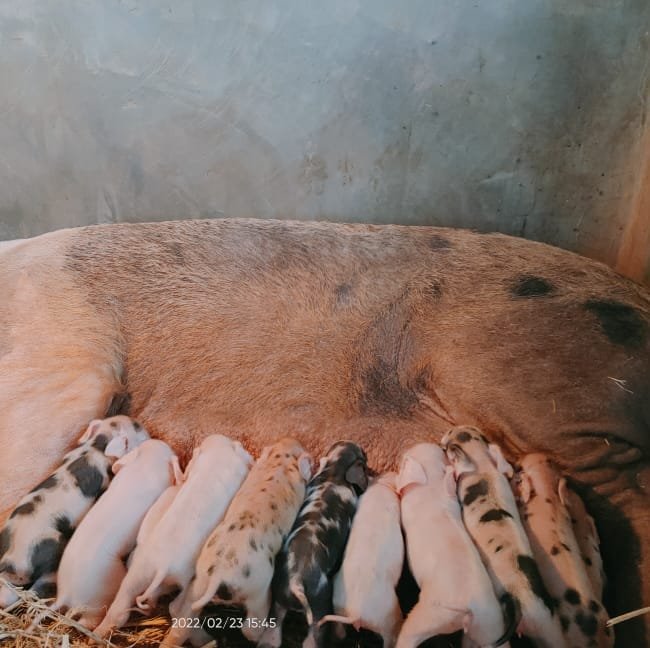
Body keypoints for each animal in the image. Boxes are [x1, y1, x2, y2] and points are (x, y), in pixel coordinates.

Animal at [95, 433, 253, 638]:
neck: (215, 460)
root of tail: (161, 566)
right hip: (182, 578)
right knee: (176, 606)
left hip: (137, 573)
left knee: (120, 607)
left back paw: (97, 633)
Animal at [160, 437, 312, 648]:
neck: (279, 461)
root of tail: (219, 574)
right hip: (258, 591)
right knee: (250, 628)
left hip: (199, 584)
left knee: (182, 620)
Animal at [261, 440, 369, 648]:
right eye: (363, 455)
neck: (334, 473)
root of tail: (297, 582)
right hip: (320, 606)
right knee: (312, 639)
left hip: (279, 598)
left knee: (273, 633)